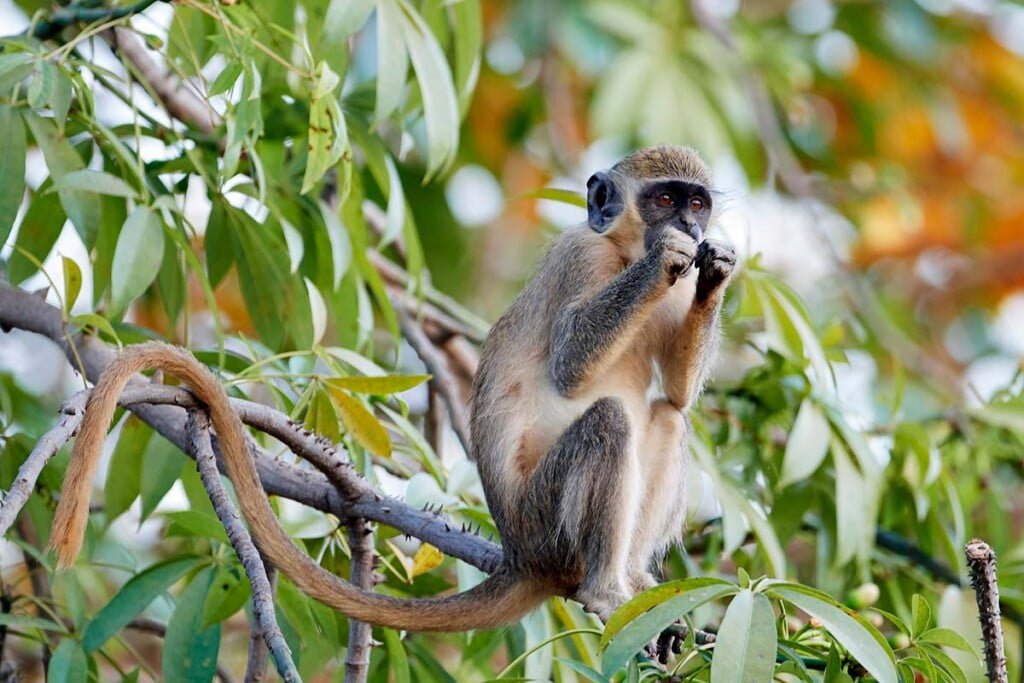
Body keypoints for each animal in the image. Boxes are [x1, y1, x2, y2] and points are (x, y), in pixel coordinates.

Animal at [49, 145, 735, 636]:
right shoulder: (580, 260)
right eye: (665, 198)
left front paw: (717, 272)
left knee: (668, 420)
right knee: (612, 421)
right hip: (547, 523)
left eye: (698, 204)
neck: (621, 255)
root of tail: (520, 554)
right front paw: (667, 254)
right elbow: (570, 364)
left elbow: (679, 395)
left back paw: (638, 584)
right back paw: (605, 590)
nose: (687, 224)